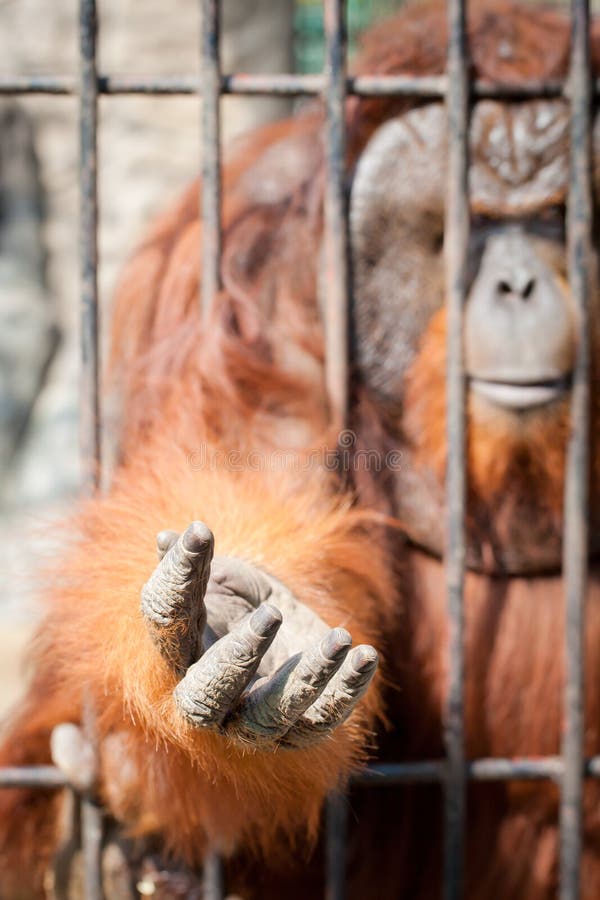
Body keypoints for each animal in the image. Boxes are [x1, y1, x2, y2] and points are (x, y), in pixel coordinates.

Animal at [1, 0, 600, 897]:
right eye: (466, 234)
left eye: (561, 219)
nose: (517, 284)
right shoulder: (257, 259)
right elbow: (240, 450)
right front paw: (227, 629)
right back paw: (103, 857)